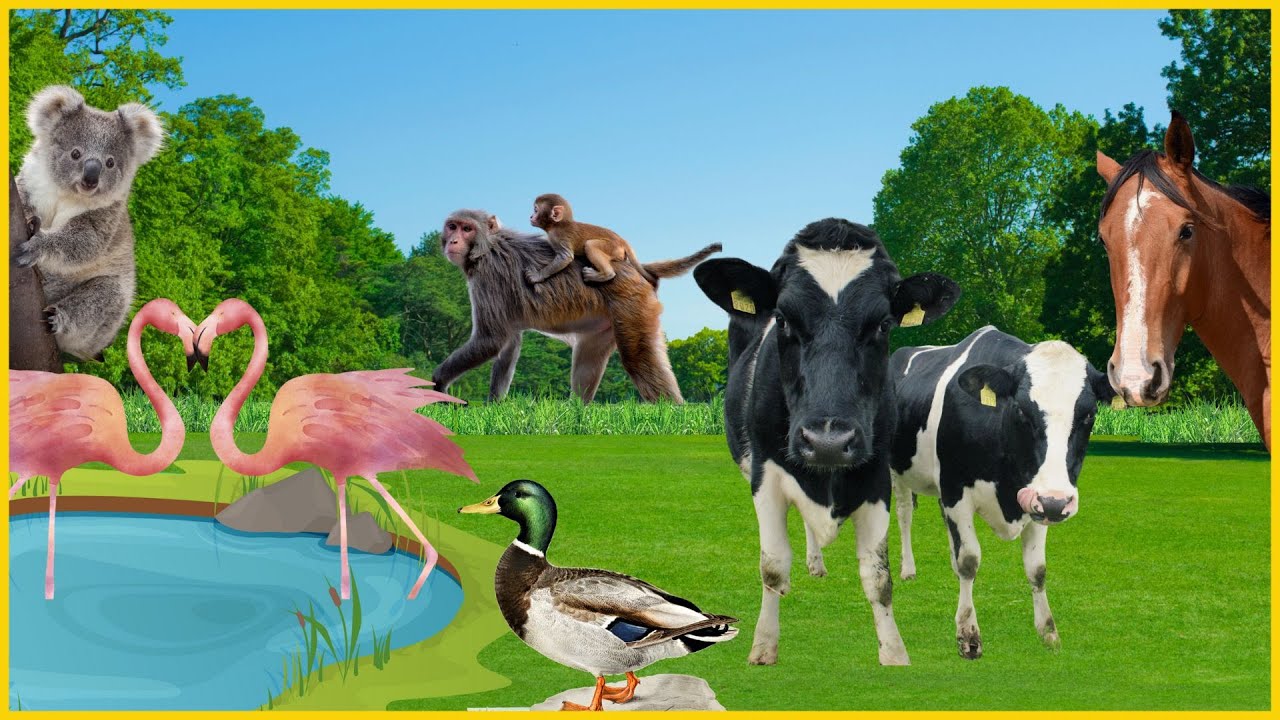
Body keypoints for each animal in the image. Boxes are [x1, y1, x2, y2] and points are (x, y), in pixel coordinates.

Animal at [694, 218, 960, 667]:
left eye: (883, 324)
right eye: (783, 319)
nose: (828, 442)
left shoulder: (876, 475)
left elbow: (878, 575)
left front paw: (894, 652)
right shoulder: (765, 475)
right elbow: (772, 565)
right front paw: (763, 646)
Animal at [888, 326, 1117, 660]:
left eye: (1088, 415)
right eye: (1021, 410)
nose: (1057, 501)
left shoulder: (1037, 500)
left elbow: (1037, 569)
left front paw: (1048, 632)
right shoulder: (957, 490)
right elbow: (970, 559)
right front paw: (968, 635)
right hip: (896, 469)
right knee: (905, 514)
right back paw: (908, 569)